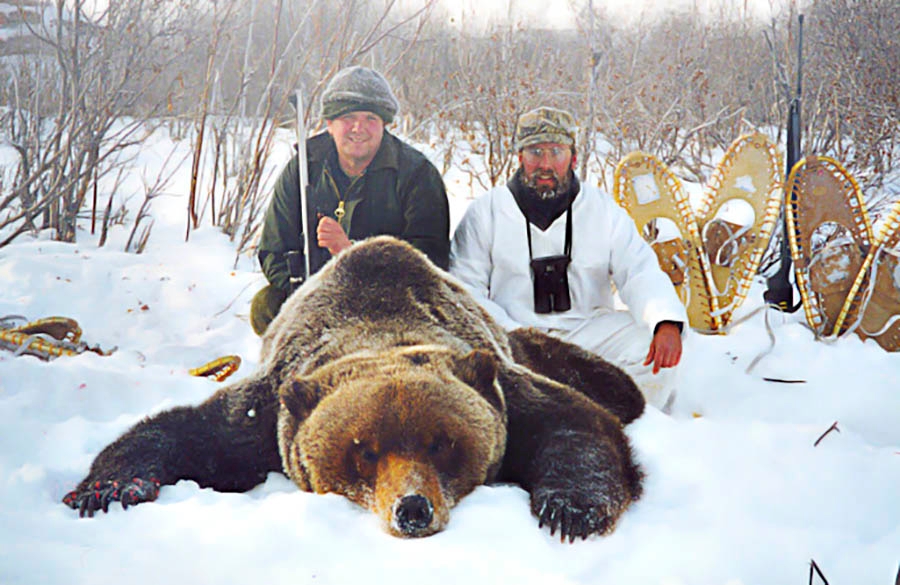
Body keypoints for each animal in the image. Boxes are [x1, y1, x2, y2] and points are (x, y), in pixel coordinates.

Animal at [63, 236, 645, 542]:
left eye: (442, 443)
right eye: (363, 451)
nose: (412, 509)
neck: (379, 331)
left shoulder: (504, 391)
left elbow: (575, 421)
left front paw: (569, 509)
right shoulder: (269, 412)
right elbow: (185, 431)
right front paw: (106, 488)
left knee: (611, 384)